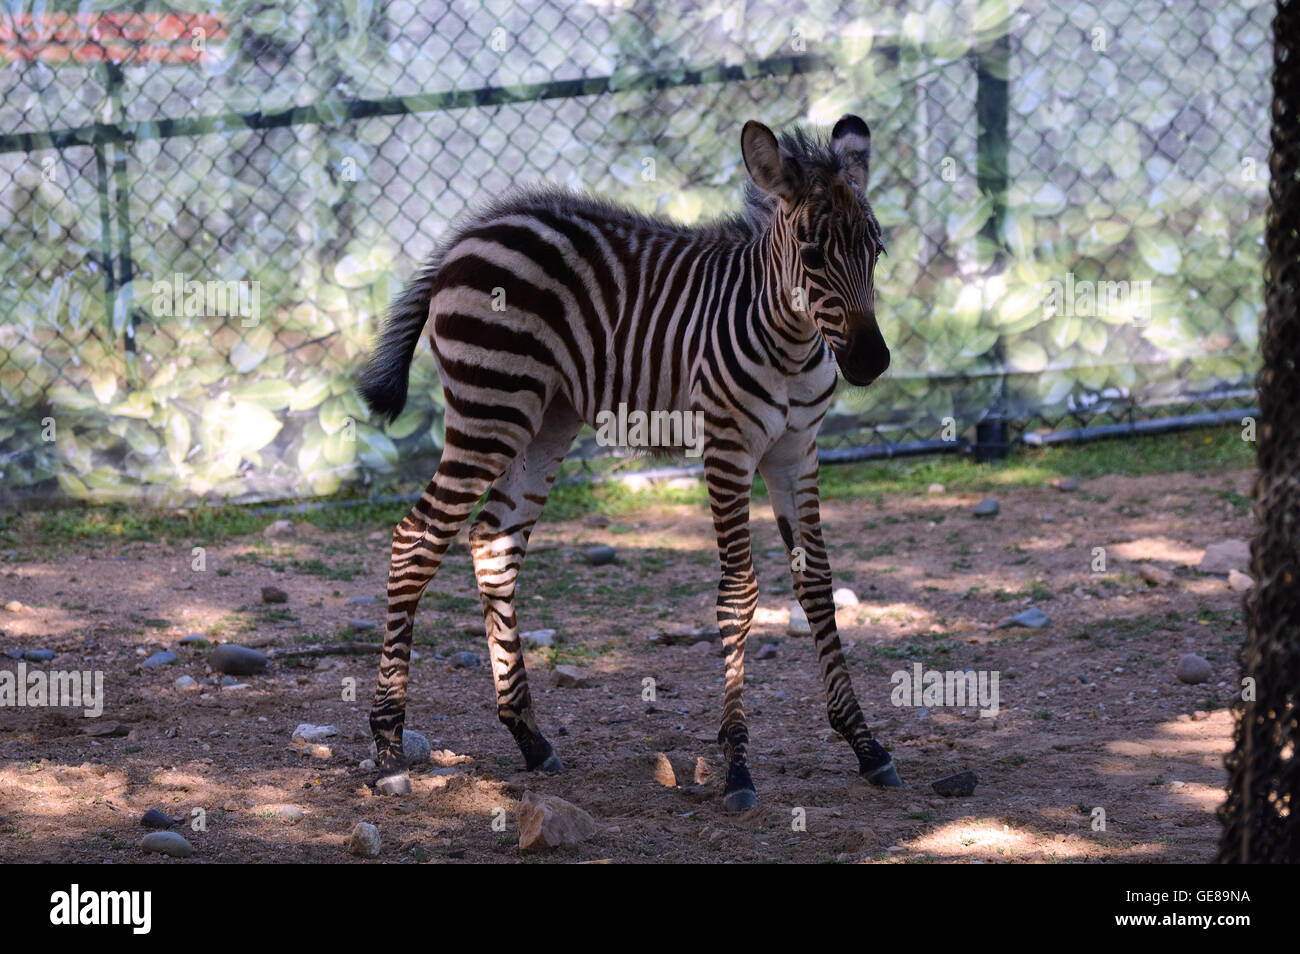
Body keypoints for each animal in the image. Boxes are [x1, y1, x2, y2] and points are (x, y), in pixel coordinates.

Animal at [358, 113, 900, 812]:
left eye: (876, 251)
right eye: (811, 255)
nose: (870, 362)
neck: (793, 340)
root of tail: (468, 235)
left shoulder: (796, 452)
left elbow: (818, 586)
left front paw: (865, 743)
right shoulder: (726, 446)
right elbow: (739, 592)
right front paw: (737, 764)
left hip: (545, 419)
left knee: (492, 545)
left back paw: (529, 737)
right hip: (488, 411)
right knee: (415, 539)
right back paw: (388, 748)